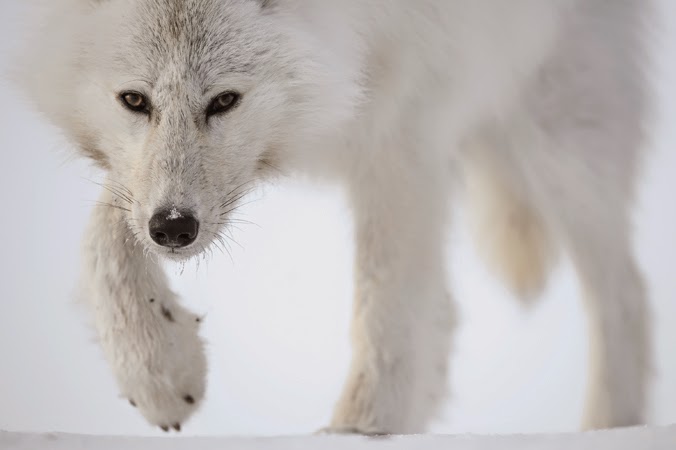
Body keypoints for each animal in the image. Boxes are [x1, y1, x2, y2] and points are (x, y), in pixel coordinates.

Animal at [17, 0, 653, 435]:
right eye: (134, 100)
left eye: (224, 100)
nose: (173, 229)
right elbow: (106, 233)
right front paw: (160, 372)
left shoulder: (408, 118)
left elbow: (387, 305)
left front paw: (361, 430)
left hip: (556, 140)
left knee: (624, 294)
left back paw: (611, 427)